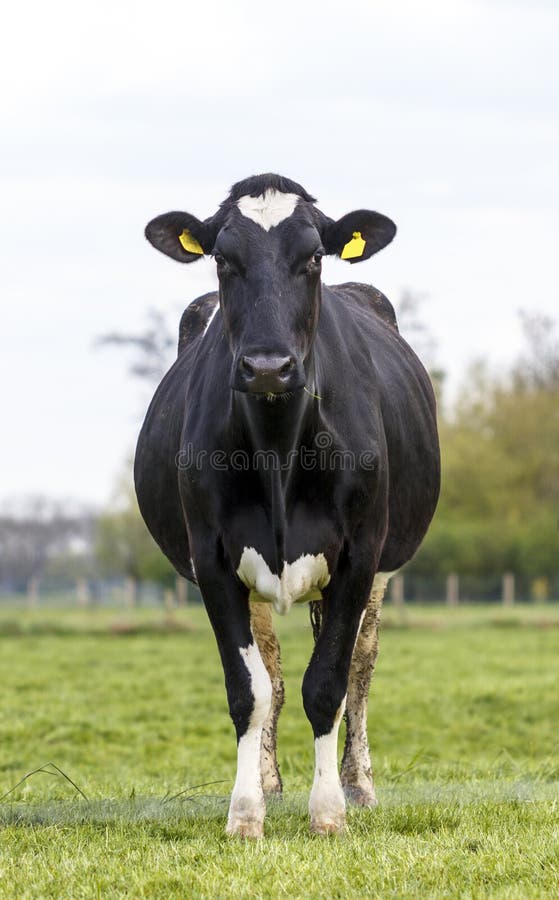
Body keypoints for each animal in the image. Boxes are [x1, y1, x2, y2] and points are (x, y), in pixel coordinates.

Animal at [135, 174, 440, 837]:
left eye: (315, 257)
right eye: (223, 258)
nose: (268, 366)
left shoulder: (359, 554)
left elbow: (328, 683)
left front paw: (328, 813)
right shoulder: (211, 558)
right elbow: (249, 689)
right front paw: (246, 811)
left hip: (378, 568)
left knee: (361, 669)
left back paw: (358, 785)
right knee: (271, 670)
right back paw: (271, 782)